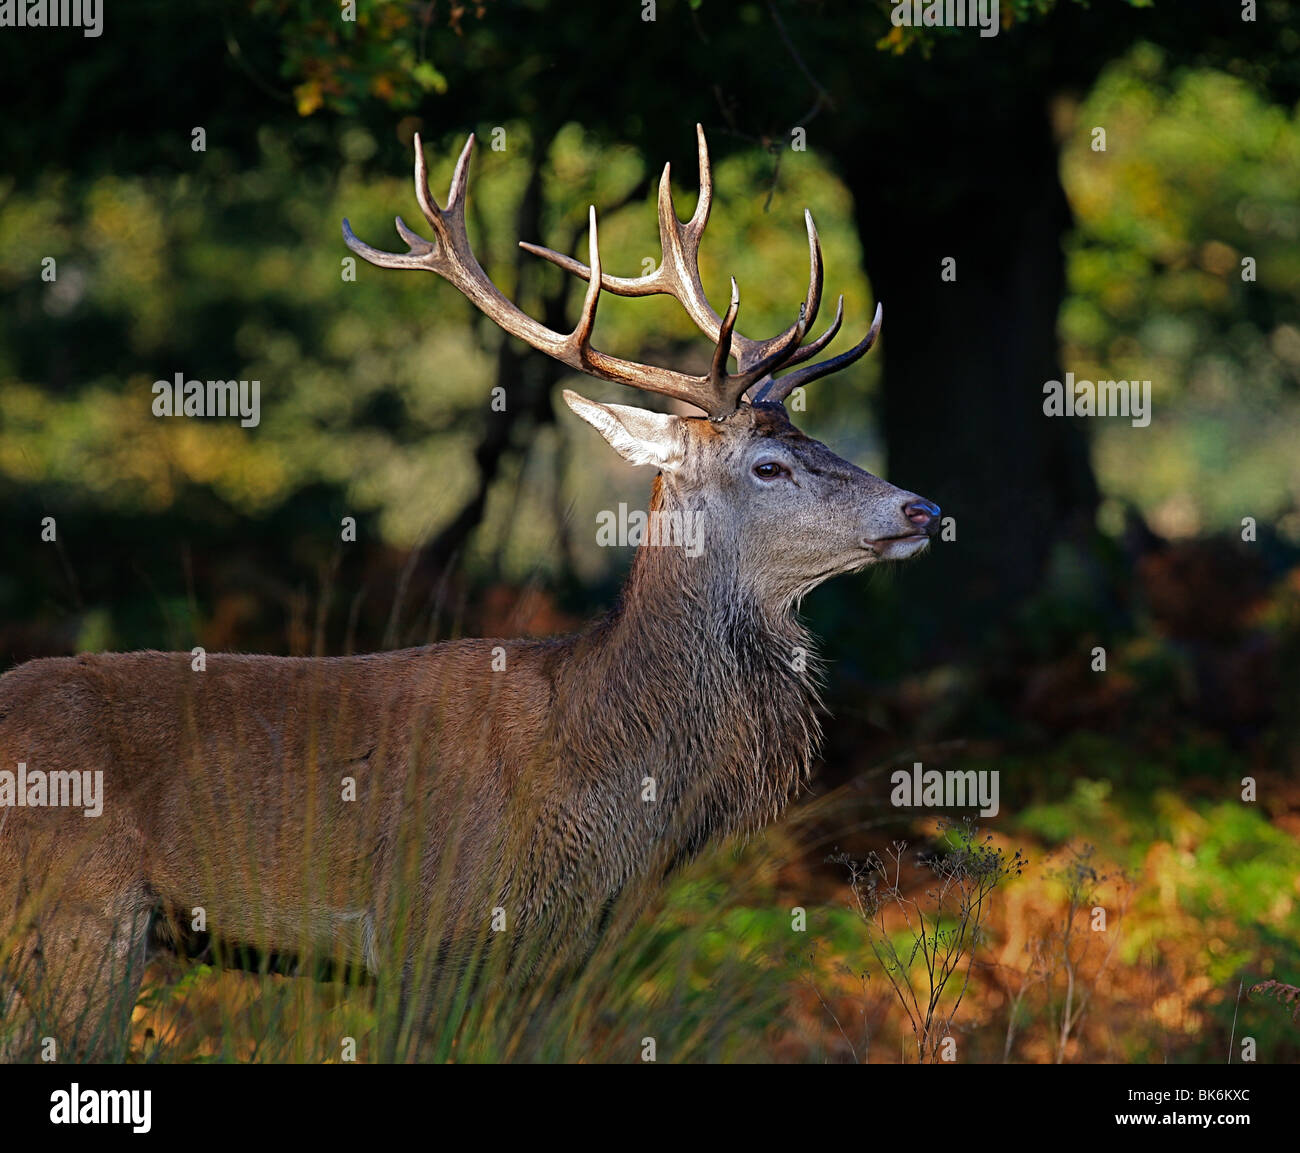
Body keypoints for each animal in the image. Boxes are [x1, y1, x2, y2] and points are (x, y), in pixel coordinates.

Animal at [0, 126, 940, 1061]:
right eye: (770, 464)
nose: (923, 507)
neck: (602, 771)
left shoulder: (554, 962)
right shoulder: (425, 929)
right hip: (80, 911)